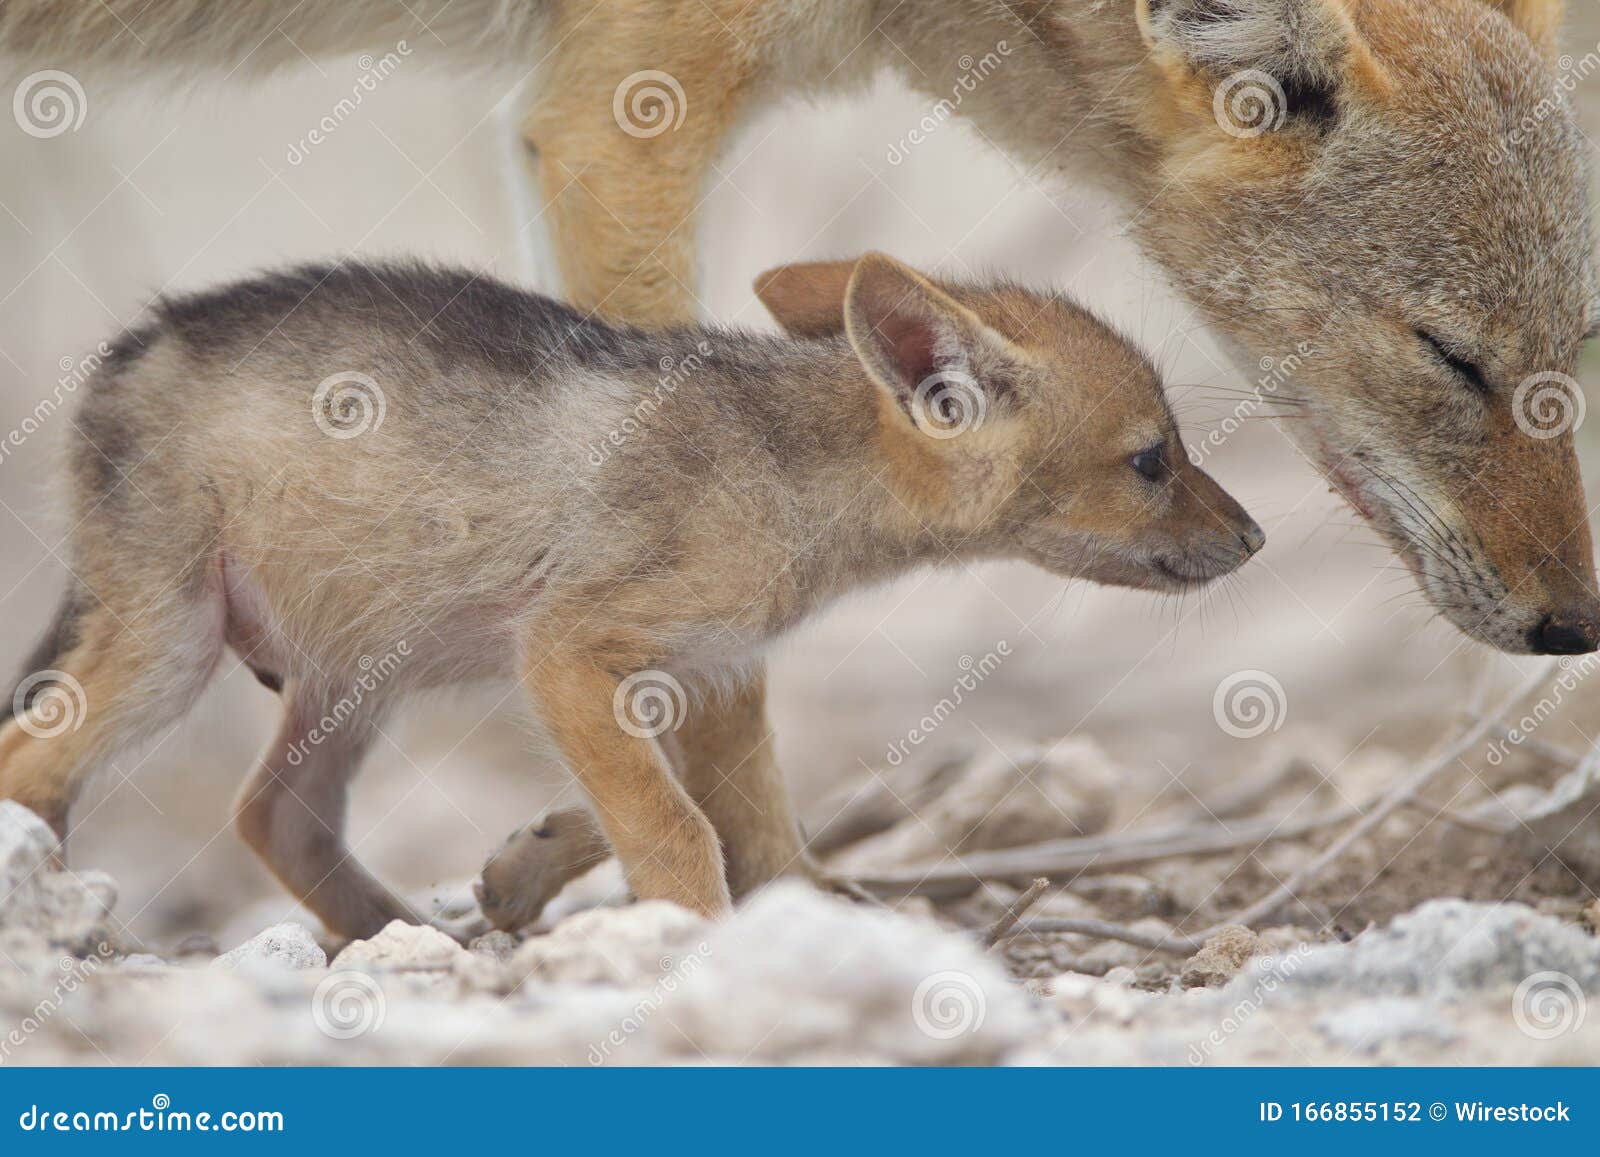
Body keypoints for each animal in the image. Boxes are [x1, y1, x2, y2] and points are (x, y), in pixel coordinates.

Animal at [0, 252, 1261, 932]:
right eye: (1153, 459)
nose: (1253, 537)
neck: (789, 467)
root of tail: (132, 344)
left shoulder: (710, 671)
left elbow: (751, 824)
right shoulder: (564, 648)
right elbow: (675, 823)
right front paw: (694, 937)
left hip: (358, 676)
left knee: (274, 814)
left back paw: (411, 938)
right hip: (172, 650)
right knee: (35, 767)